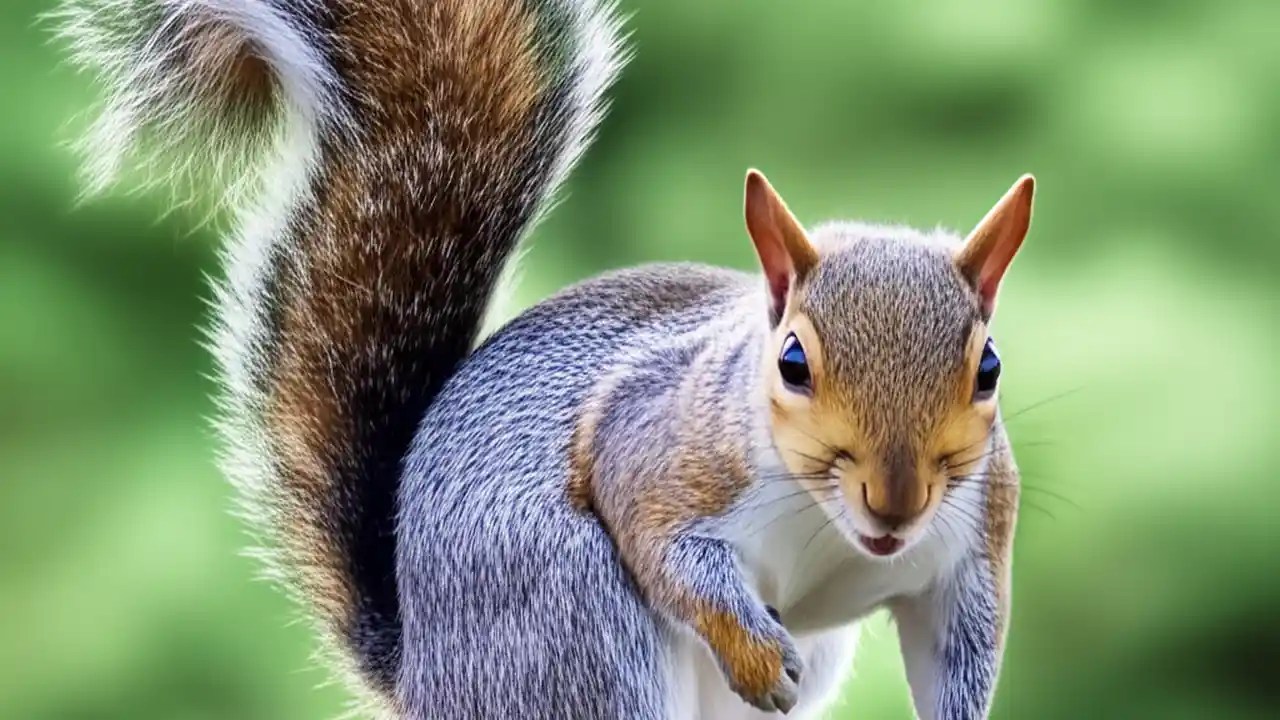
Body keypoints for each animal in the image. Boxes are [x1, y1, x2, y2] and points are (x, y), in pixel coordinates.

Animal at [56, 0, 1033, 718]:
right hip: (572, 619)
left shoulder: (970, 550)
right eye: (792, 362)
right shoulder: (659, 451)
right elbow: (668, 549)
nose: (895, 504)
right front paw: (758, 656)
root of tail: (427, 677)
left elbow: (958, 653)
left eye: (988, 369)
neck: (832, 529)